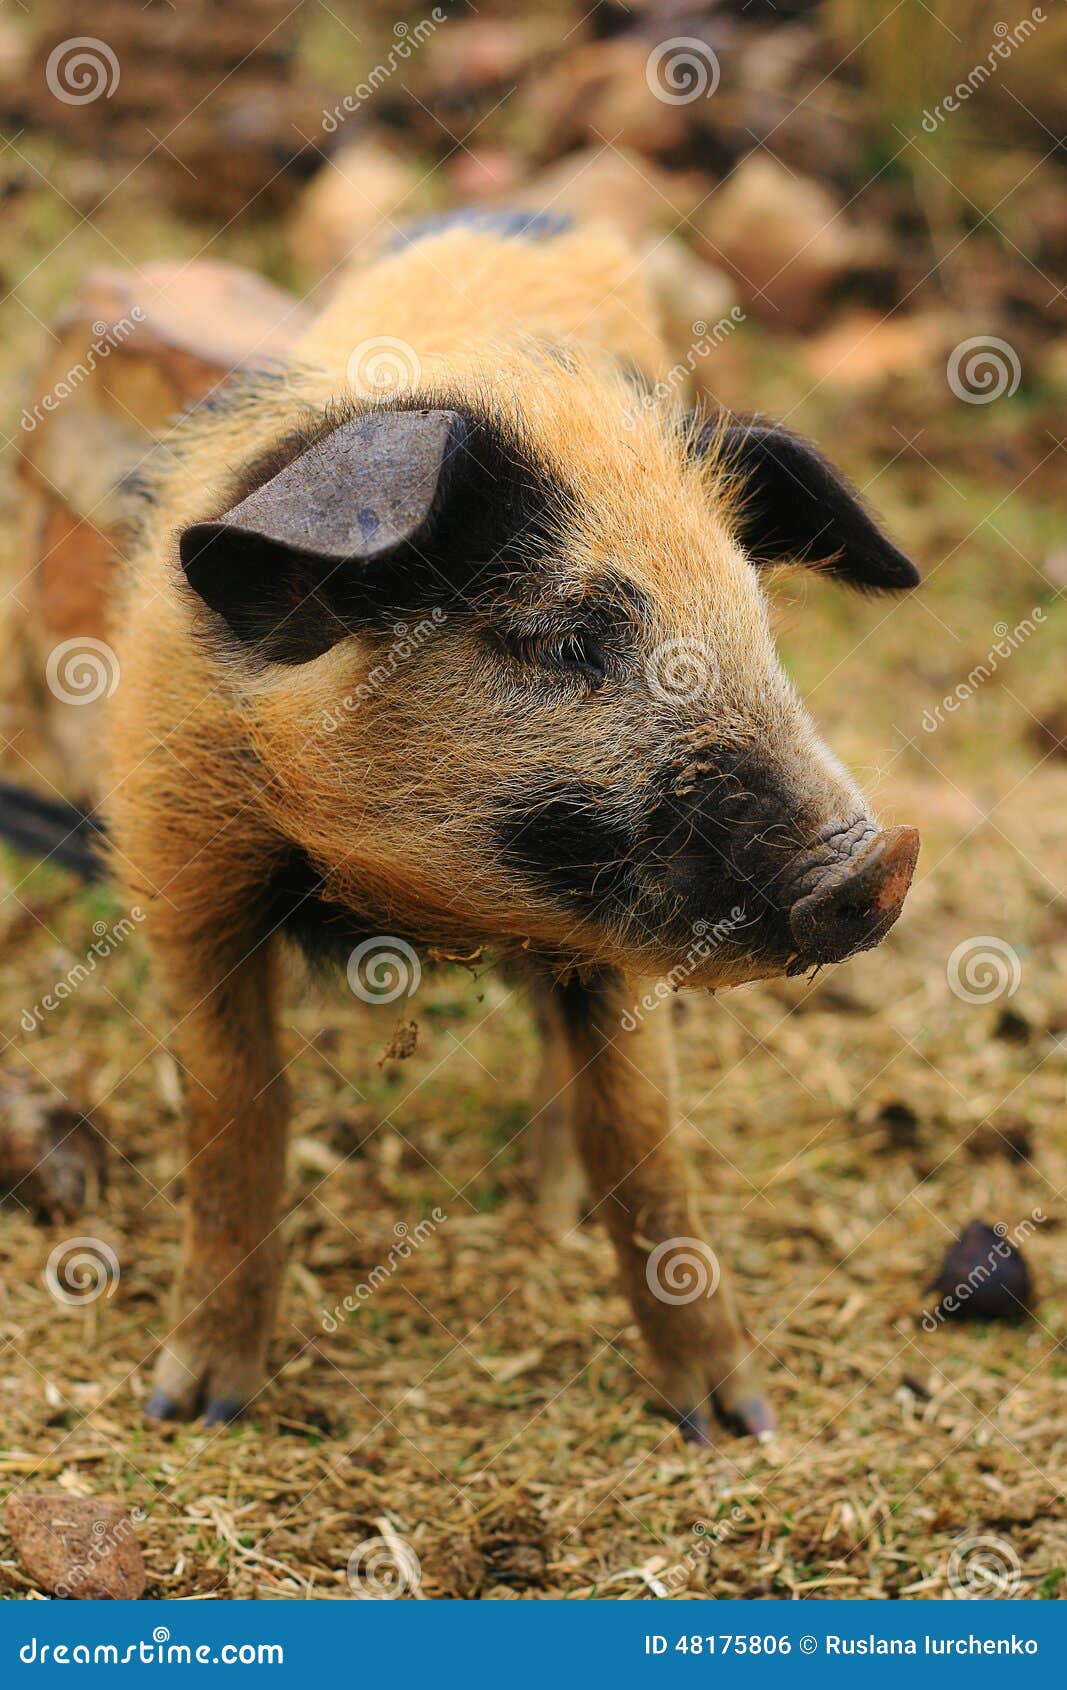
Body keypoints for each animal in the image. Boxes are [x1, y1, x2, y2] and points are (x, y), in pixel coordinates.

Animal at [99, 215, 919, 1441]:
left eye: (752, 618)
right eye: (563, 639)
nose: (874, 863)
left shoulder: (620, 951)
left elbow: (640, 1135)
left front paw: (733, 1423)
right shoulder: (185, 860)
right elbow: (237, 1118)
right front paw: (193, 1408)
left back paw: (549, 1207)